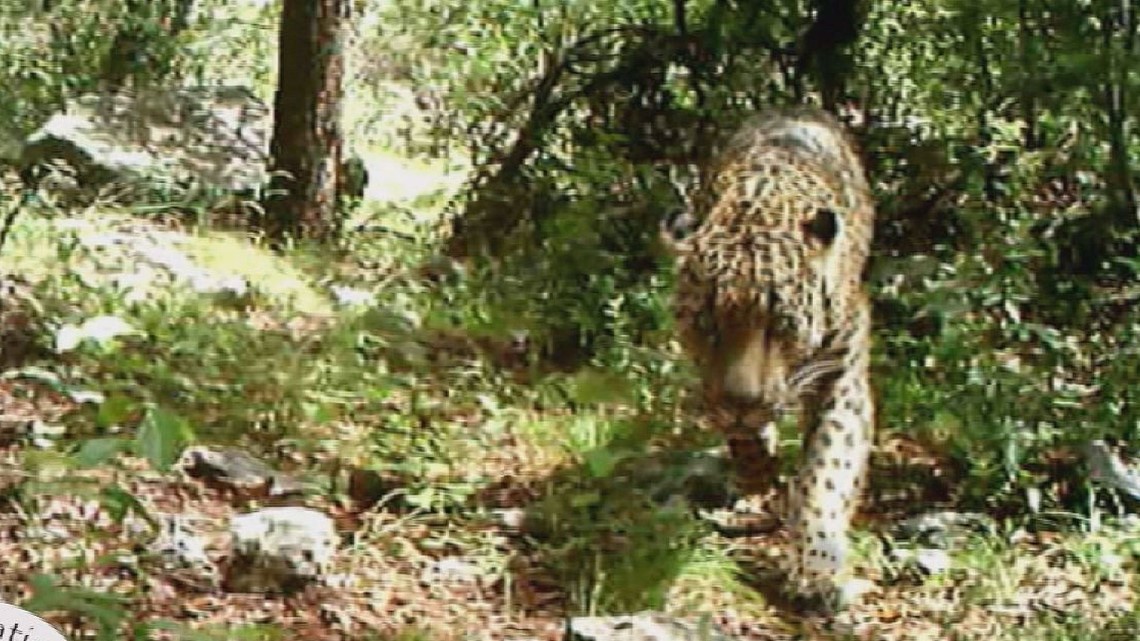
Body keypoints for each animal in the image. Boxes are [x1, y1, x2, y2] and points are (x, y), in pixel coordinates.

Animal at [664, 106, 876, 608]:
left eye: (780, 325)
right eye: (706, 325)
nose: (741, 404)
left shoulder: (842, 371)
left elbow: (829, 468)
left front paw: (817, 567)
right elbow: (748, 447)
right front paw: (757, 487)